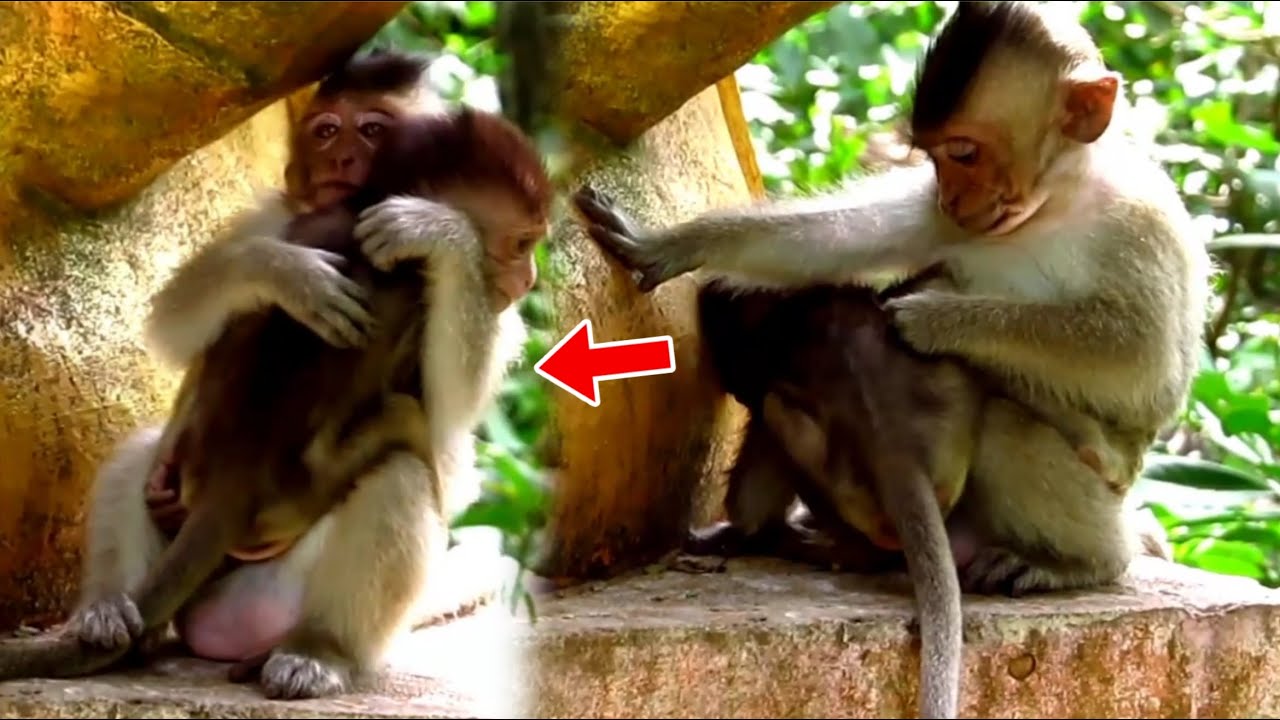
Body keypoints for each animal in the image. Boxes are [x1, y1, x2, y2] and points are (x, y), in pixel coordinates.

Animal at [573, 0, 1211, 597]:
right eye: (936, 157)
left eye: (965, 151)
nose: (951, 197)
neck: (1051, 203)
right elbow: (841, 239)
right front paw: (674, 245)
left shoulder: (1141, 226)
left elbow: (1149, 372)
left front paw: (936, 317)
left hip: (1097, 499)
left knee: (1015, 418)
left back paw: (1078, 563)